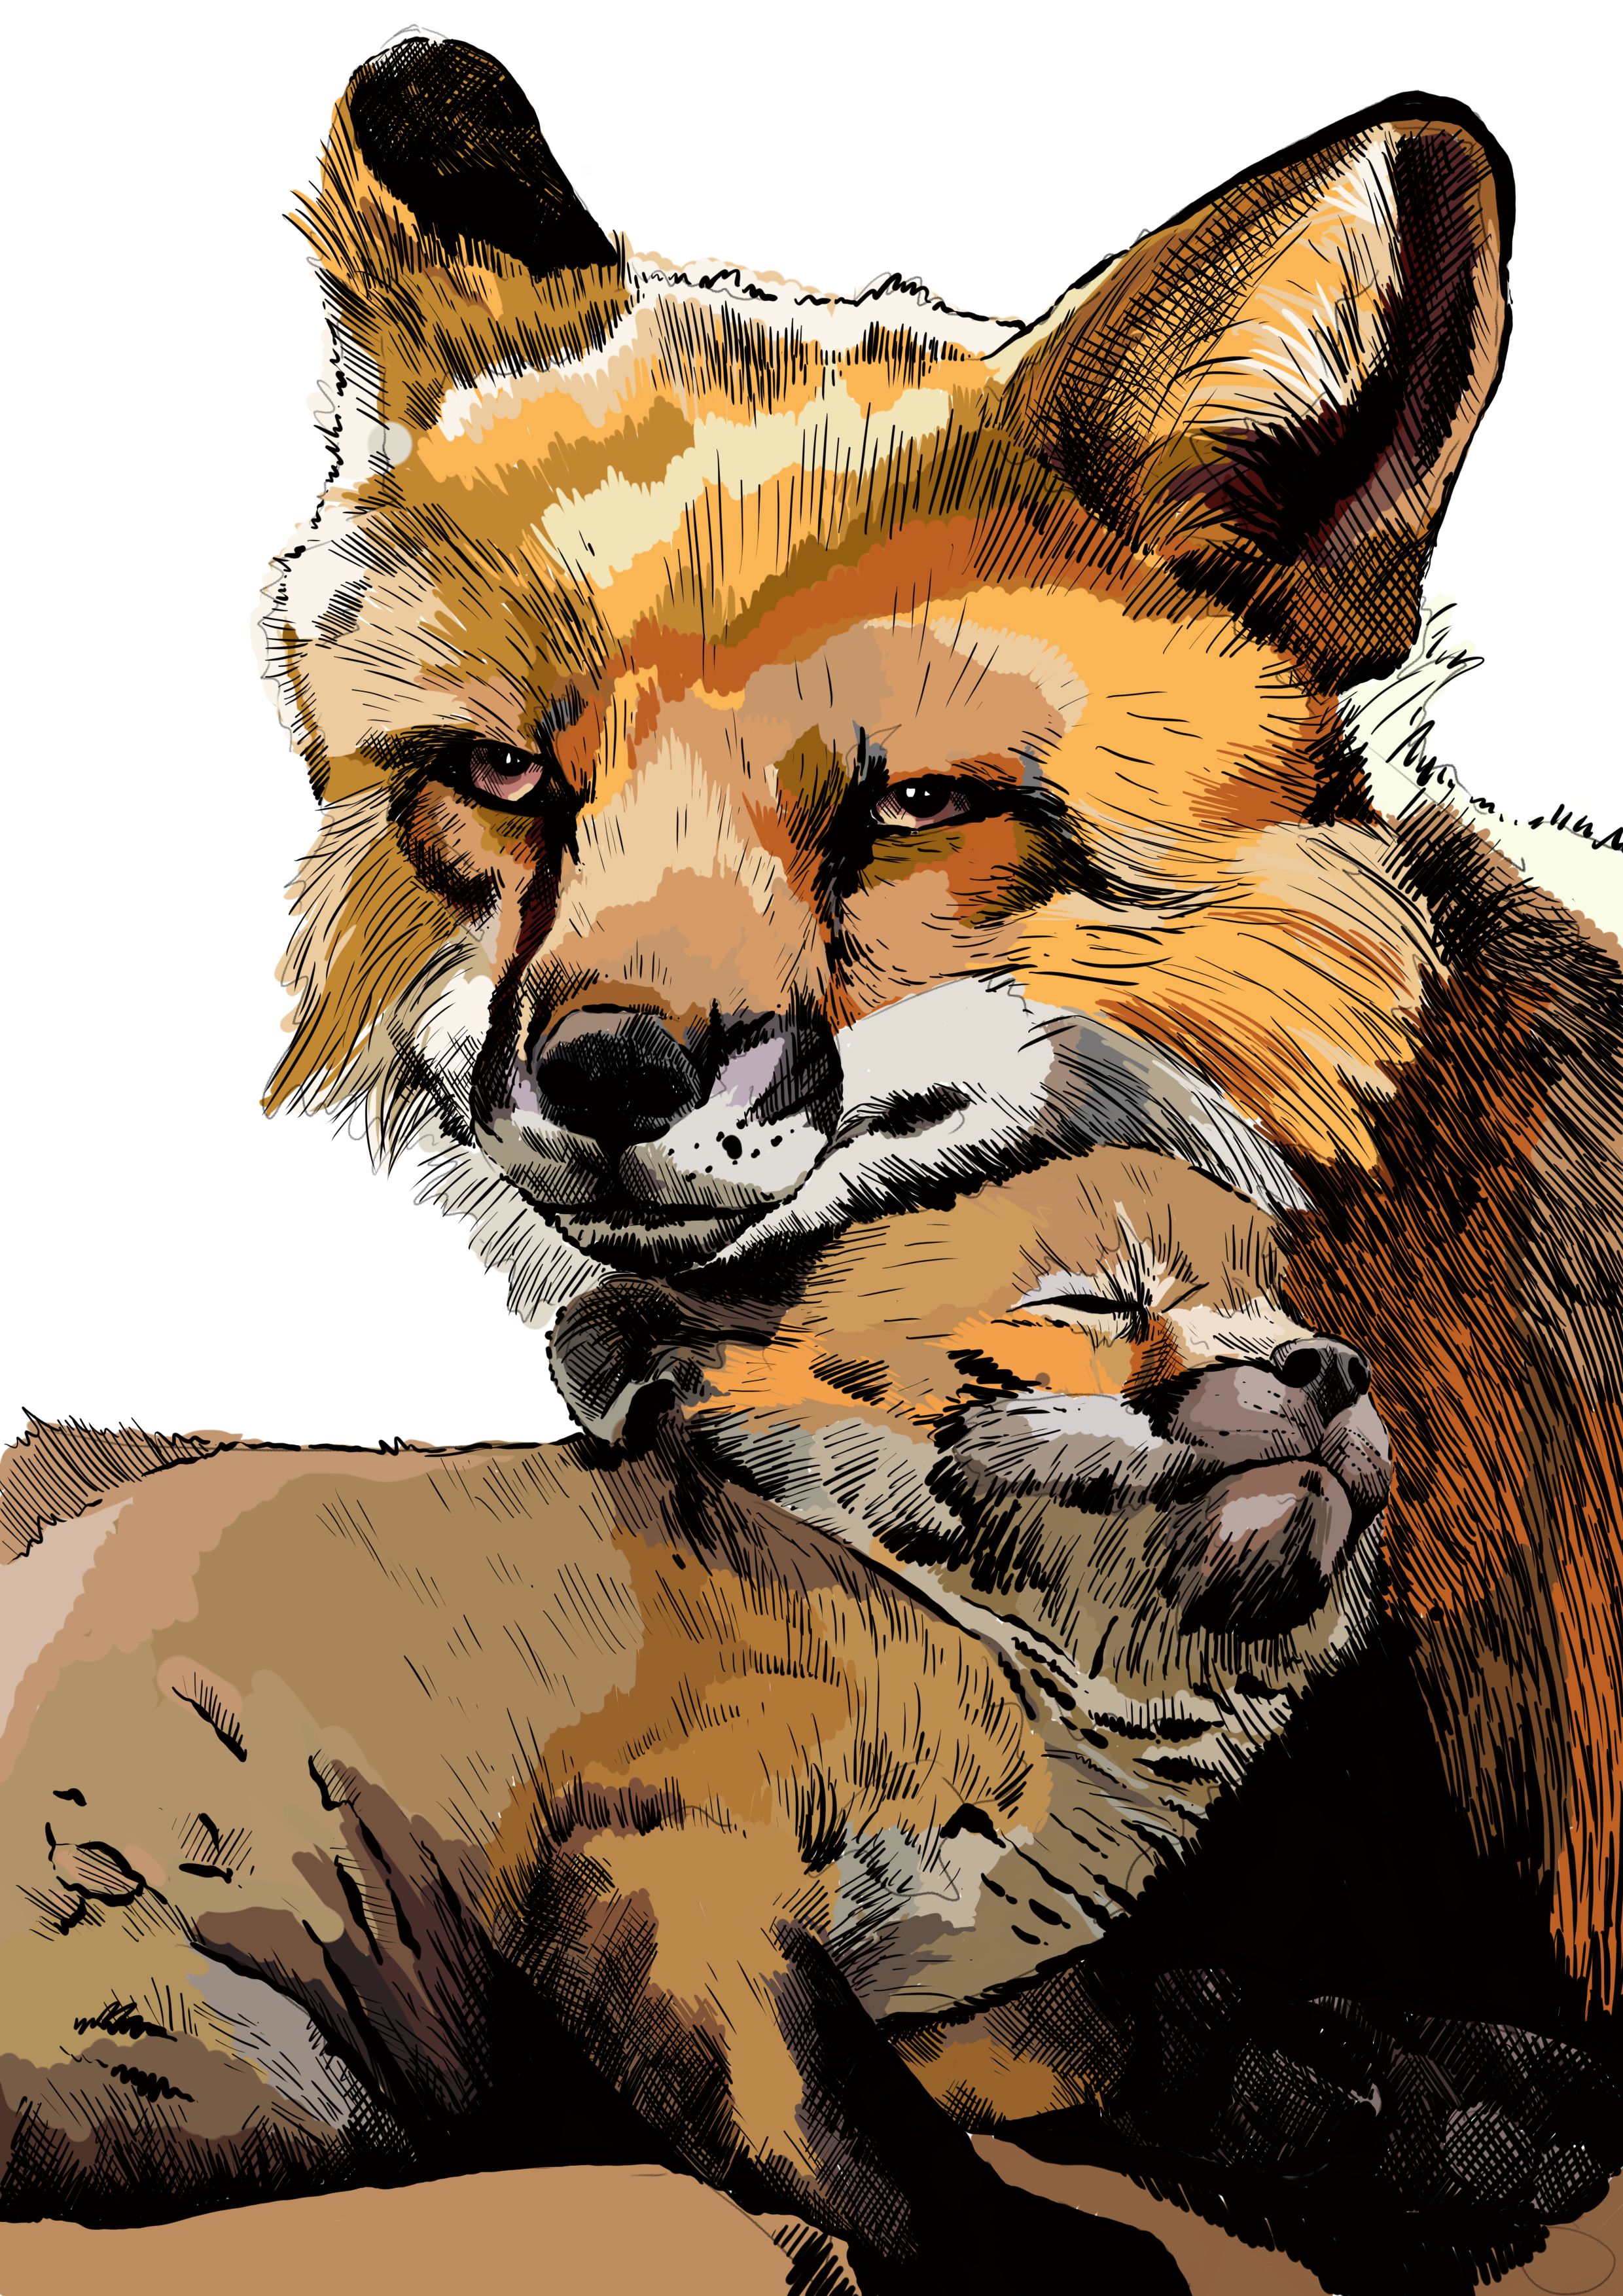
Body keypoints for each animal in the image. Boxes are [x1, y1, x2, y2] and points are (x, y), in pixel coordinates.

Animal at [0, 1137, 1401, 2287]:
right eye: (1097, 1301)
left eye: (1289, 1310)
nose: (1331, 1366)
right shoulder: (664, 1870)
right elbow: (858, 2126)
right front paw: (1060, 2249)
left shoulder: (940, 1984)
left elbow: (1105, 2044)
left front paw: (1312, 2103)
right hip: (259, 2033)